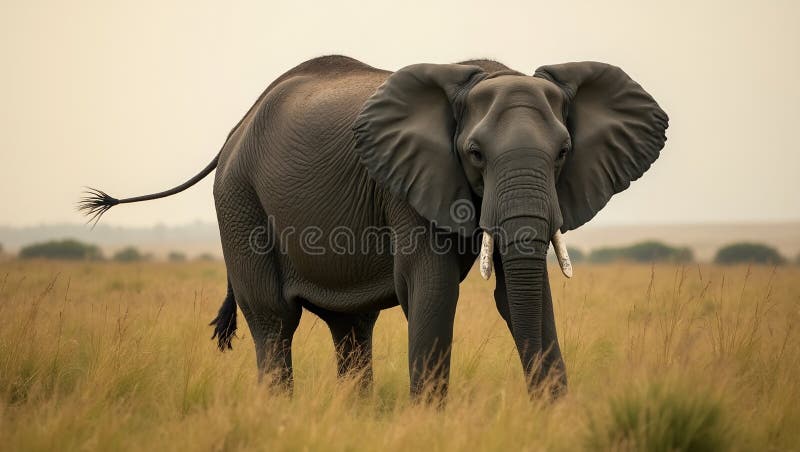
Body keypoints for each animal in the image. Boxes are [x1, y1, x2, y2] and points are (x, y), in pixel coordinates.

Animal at [80, 55, 667, 399]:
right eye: (475, 153)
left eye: (564, 151)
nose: (551, 406)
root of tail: (235, 129)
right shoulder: (402, 186)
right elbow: (430, 288)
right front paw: (429, 423)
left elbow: (521, 293)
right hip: (239, 199)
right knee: (273, 321)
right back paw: (278, 415)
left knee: (350, 327)